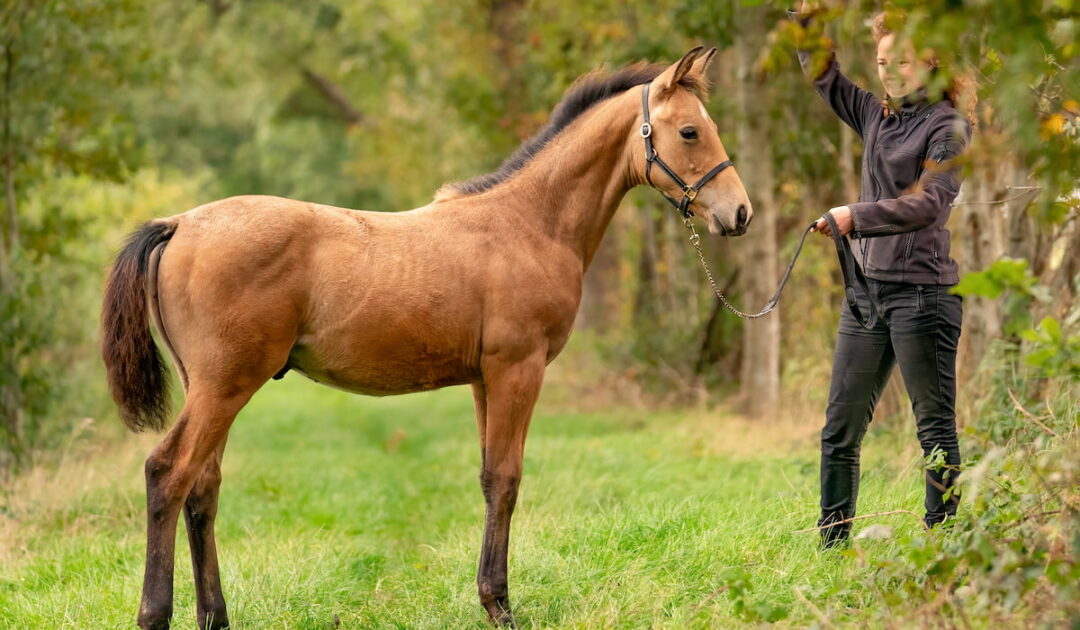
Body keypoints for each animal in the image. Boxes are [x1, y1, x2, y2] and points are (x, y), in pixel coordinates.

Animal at [101, 46, 752, 630]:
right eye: (690, 131)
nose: (739, 213)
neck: (528, 223)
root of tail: (179, 223)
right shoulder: (519, 369)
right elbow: (508, 479)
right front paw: (501, 607)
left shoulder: (485, 379)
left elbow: (489, 478)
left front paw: (492, 600)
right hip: (226, 384)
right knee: (168, 473)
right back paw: (154, 615)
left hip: (211, 387)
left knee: (202, 488)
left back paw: (216, 617)